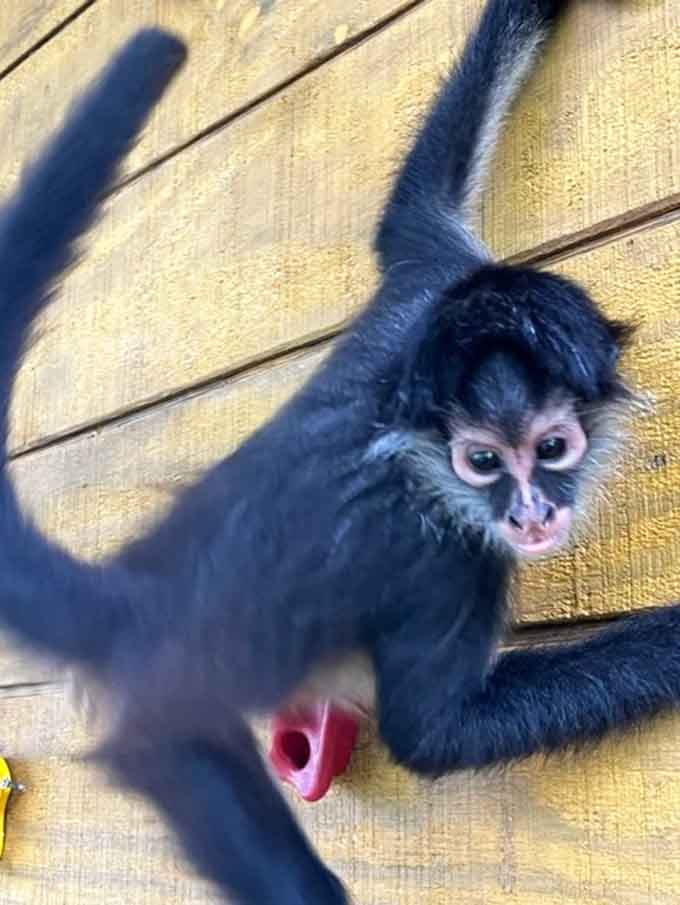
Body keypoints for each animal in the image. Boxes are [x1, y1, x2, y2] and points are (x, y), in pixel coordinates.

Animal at [1, 2, 679, 903]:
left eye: (553, 447)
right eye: (483, 464)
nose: (532, 514)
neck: (413, 447)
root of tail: (141, 596)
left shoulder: (427, 290)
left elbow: (409, 213)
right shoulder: (438, 555)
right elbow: (434, 735)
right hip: (172, 722)